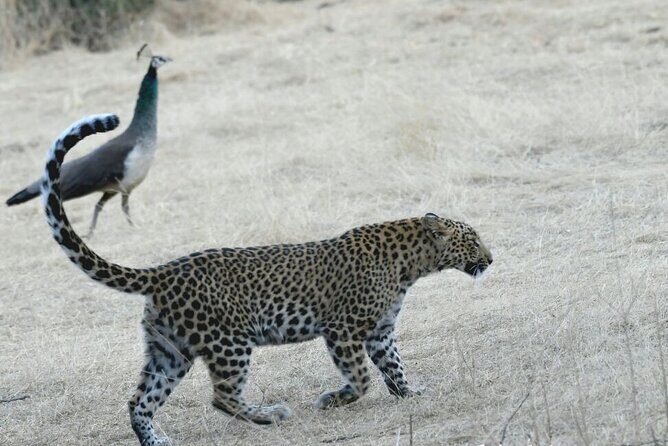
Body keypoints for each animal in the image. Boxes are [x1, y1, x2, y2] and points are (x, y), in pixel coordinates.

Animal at [40, 114, 493, 445]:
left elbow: (394, 367)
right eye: (472, 239)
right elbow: (363, 378)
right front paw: (333, 400)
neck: (410, 262)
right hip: (229, 342)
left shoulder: (380, 331)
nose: (491, 259)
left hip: (170, 351)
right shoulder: (343, 328)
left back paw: (159, 441)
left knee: (139, 401)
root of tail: (163, 271)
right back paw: (270, 415)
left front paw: (410, 393)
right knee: (222, 397)